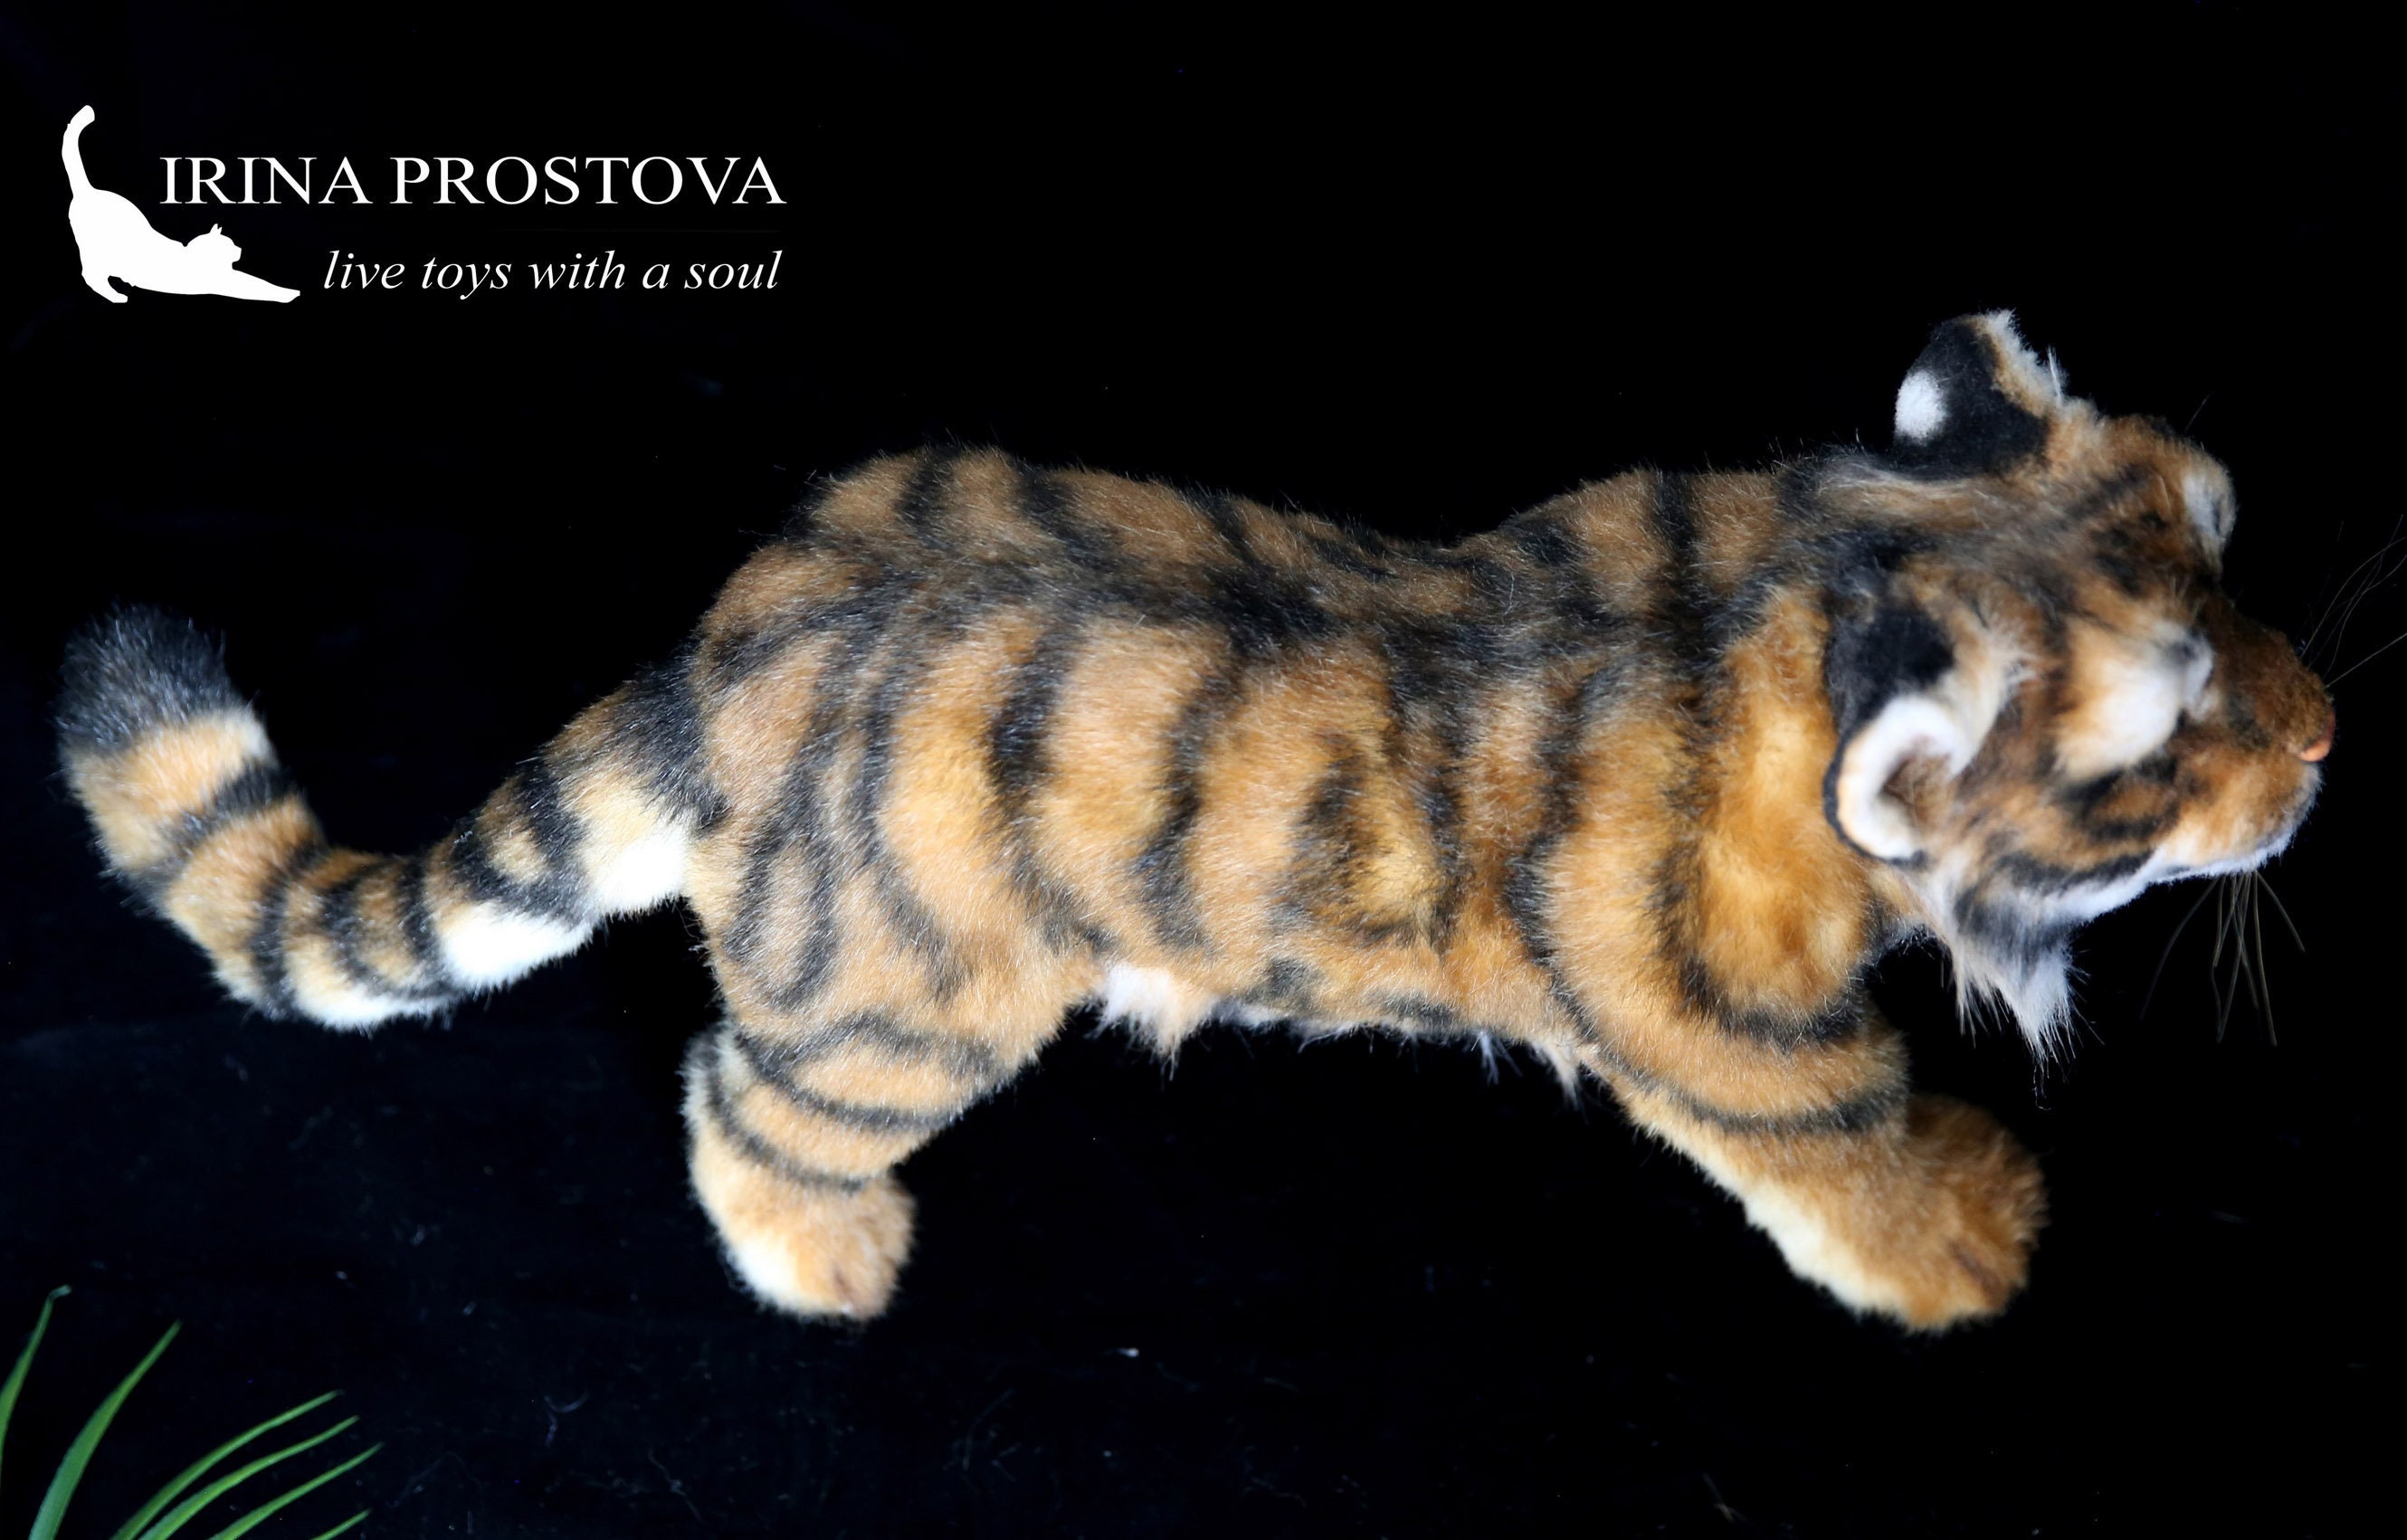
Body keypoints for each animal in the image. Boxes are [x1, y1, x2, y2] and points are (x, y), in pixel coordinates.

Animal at [57, 313, 2332, 1331]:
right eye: (2168, 740)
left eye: (2230, 547)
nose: (2325, 746)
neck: (1818, 582)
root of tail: (732, 648)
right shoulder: (1724, 1033)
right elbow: (1847, 1145)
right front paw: (1970, 1242)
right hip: (910, 1005)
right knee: (741, 1100)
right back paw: (827, 1258)